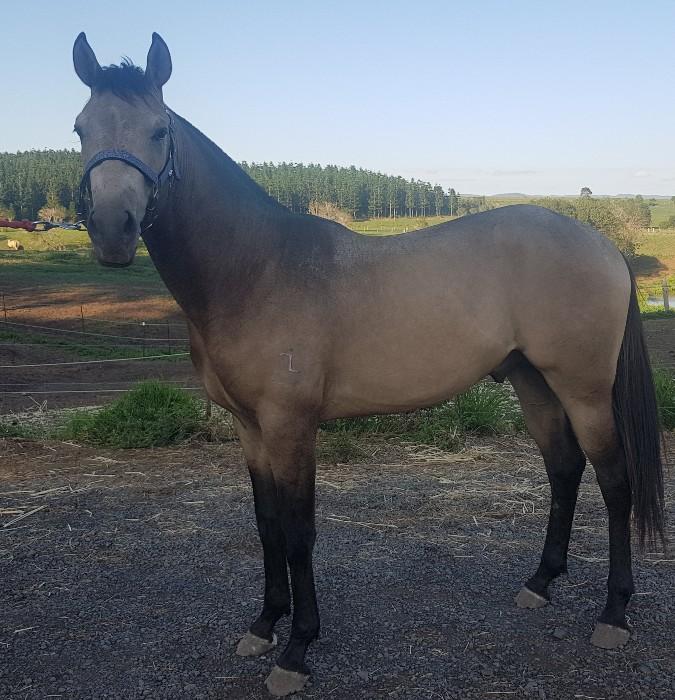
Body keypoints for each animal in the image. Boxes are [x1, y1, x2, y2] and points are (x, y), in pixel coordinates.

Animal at [72, 32, 665, 697]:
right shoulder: (249, 427)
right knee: (564, 469)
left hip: (584, 390)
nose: (113, 230)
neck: (255, 271)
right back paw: (539, 583)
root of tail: (603, 244)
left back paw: (613, 613)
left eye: (158, 130)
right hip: (532, 382)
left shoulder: (290, 426)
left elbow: (299, 531)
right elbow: (266, 523)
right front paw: (263, 625)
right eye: (80, 129)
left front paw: (297, 649)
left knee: (615, 482)